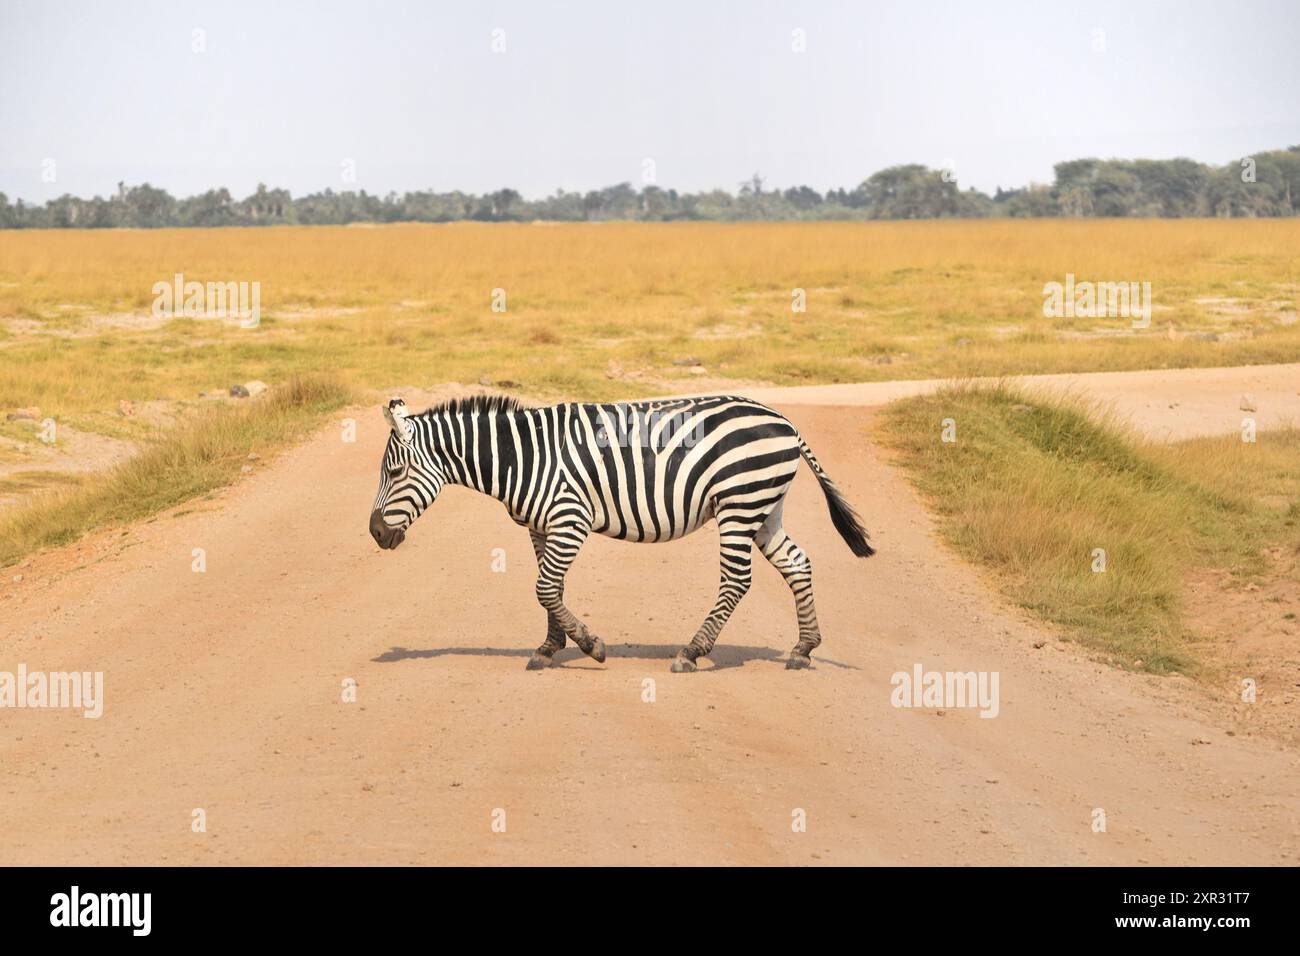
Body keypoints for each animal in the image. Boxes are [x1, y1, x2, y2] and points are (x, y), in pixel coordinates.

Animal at [369, 393, 874, 672]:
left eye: (394, 472)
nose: (375, 534)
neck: (521, 458)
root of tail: (784, 421)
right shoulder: (541, 526)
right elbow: (551, 588)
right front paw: (550, 647)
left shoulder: (570, 519)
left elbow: (544, 587)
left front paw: (591, 646)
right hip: (763, 506)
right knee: (798, 563)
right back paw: (803, 648)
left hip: (738, 502)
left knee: (736, 580)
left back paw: (691, 652)